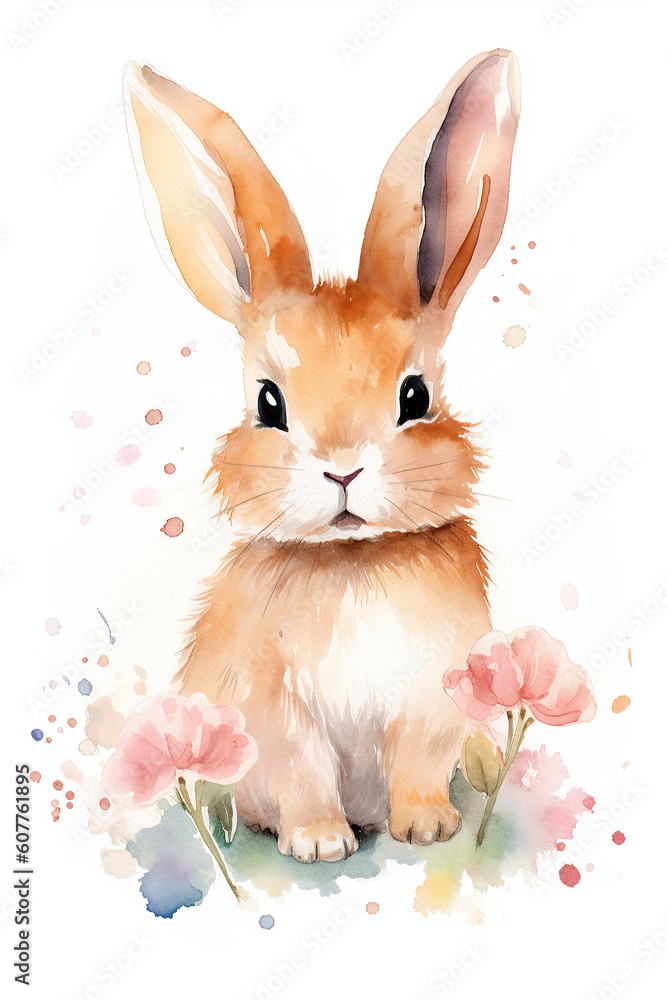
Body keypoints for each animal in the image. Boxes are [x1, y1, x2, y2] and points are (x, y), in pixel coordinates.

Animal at [123, 48, 520, 863]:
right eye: (269, 404)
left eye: (414, 397)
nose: (342, 468)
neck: (352, 562)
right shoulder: (273, 712)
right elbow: (302, 775)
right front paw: (318, 843)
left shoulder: (430, 700)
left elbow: (418, 765)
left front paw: (426, 828)